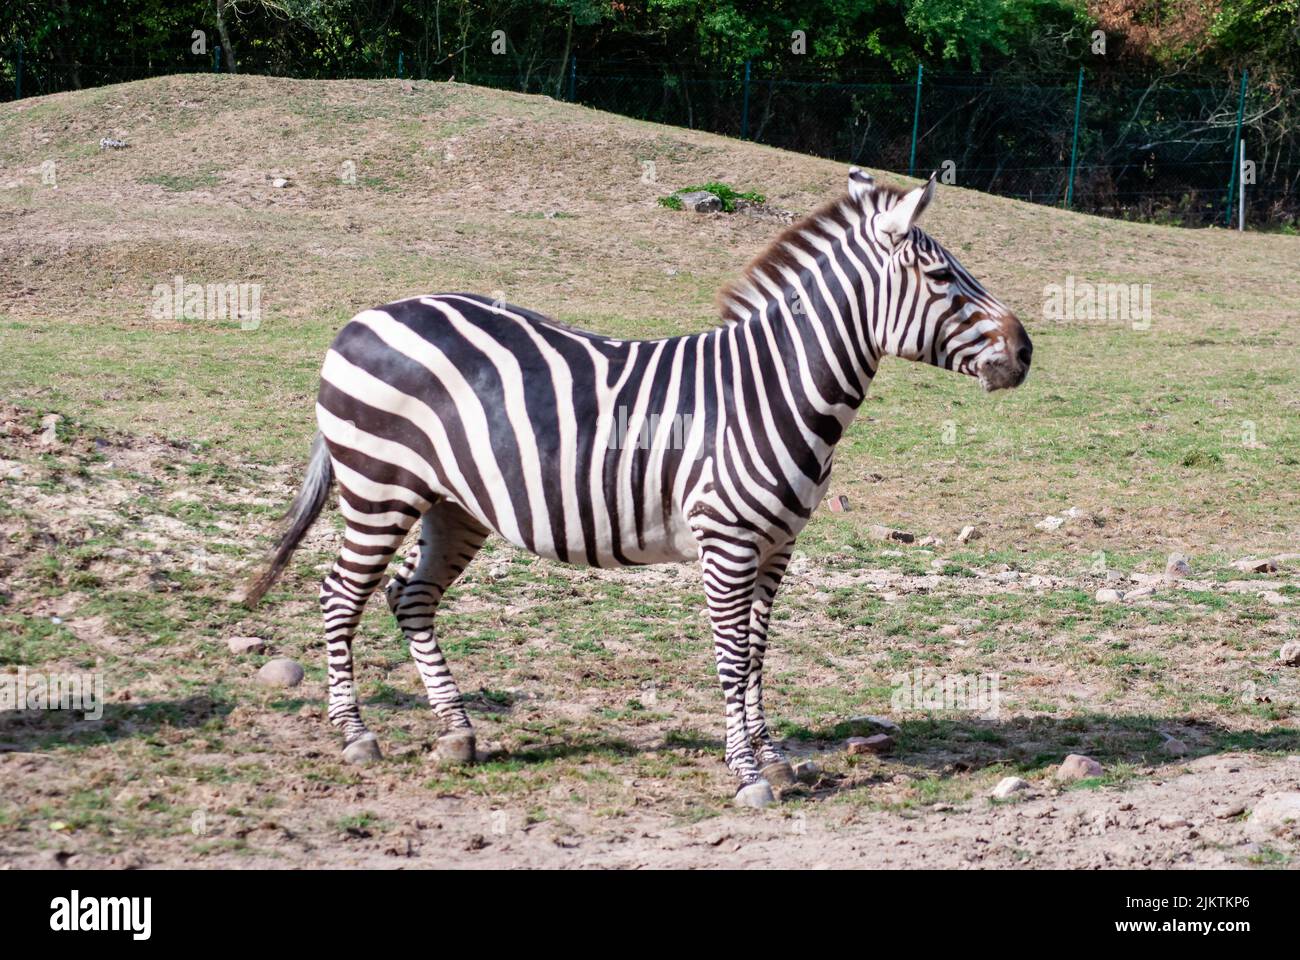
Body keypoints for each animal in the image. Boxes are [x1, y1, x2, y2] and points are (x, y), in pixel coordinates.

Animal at [239, 168, 1032, 808]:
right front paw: (748, 776)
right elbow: (732, 657)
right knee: (340, 594)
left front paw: (775, 760)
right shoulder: (728, 542)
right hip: (379, 486)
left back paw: (458, 734)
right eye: (942, 278)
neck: (773, 389)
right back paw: (355, 736)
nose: (1026, 352)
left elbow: (758, 654)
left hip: (453, 504)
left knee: (410, 596)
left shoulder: (777, 548)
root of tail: (364, 316)